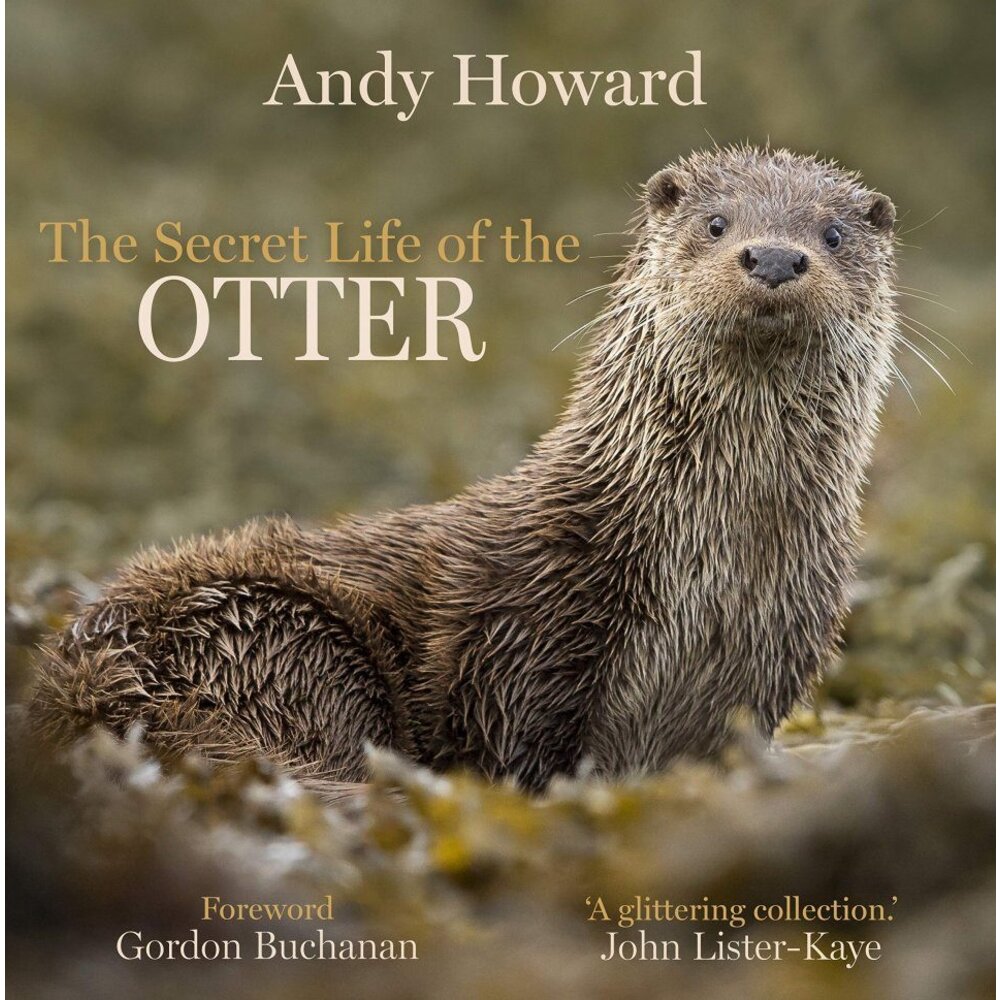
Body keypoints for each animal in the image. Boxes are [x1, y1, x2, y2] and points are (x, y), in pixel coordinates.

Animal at [30, 146, 898, 792]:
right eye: (715, 223)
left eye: (833, 235)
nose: (776, 257)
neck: (715, 573)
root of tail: (86, 678)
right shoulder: (517, 643)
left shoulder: (769, 660)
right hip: (284, 635)